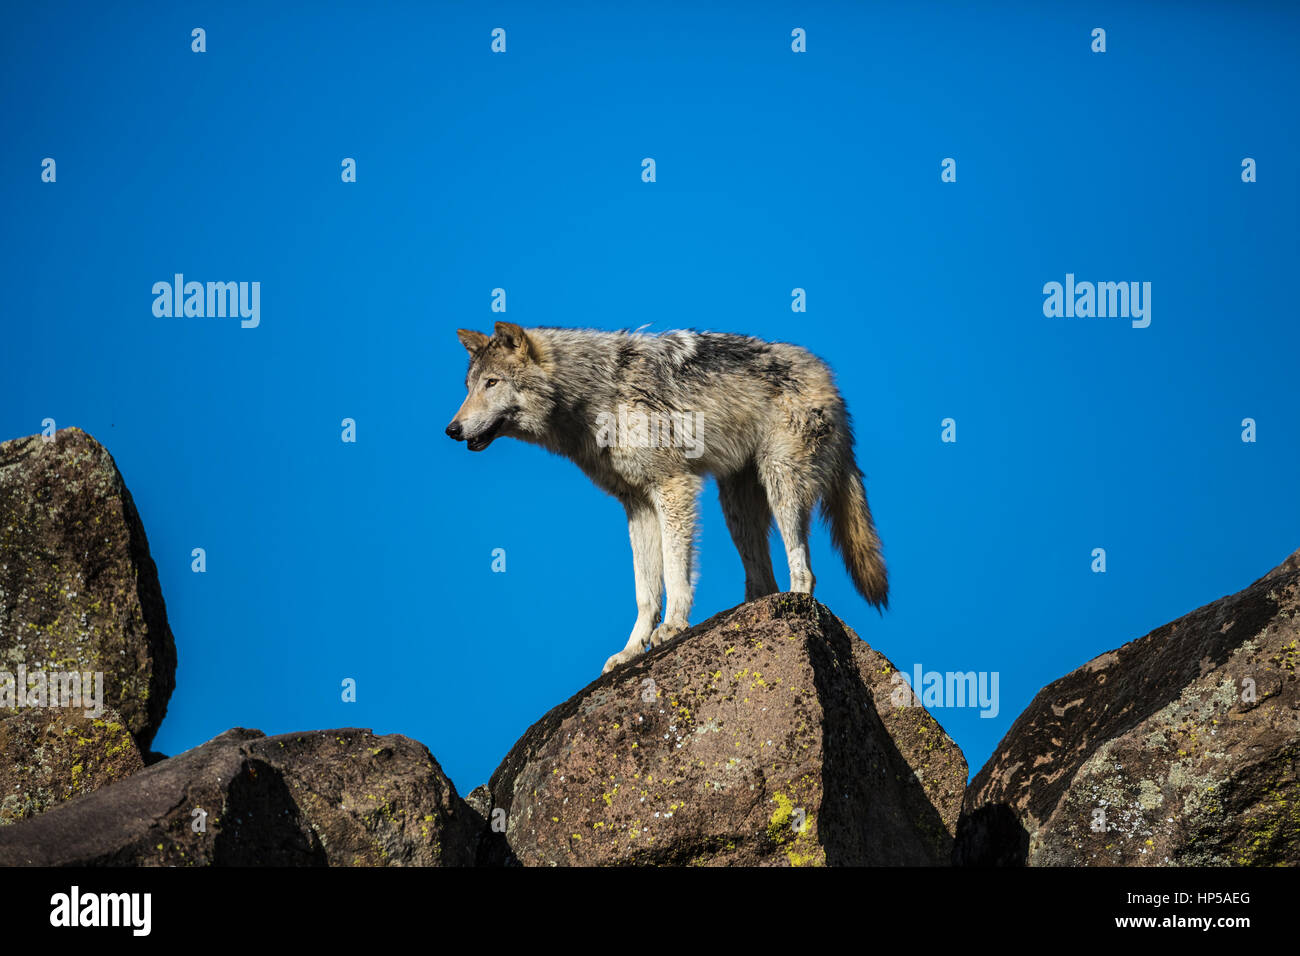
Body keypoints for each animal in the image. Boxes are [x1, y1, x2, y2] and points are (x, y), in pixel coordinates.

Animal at [446, 322, 888, 674]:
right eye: (469, 387)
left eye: (492, 383)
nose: (451, 430)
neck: (600, 394)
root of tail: (826, 374)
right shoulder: (638, 505)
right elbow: (645, 592)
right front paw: (630, 651)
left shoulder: (673, 487)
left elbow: (676, 572)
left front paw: (674, 626)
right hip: (737, 510)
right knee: (763, 579)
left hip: (781, 485)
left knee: (803, 570)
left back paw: (797, 604)